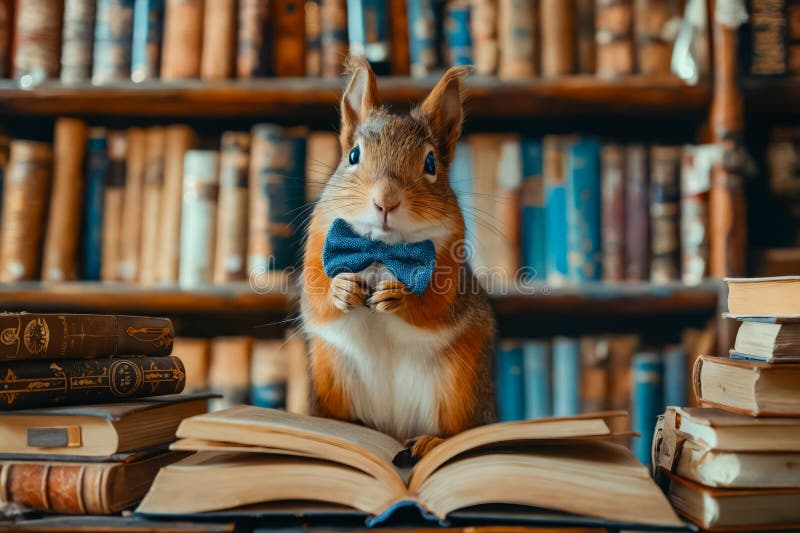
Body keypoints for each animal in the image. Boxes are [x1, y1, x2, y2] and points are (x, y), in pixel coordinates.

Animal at [301, 56, 496, 465]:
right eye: (353, 156)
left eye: (431, 163)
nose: (386, 200)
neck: (381, 251)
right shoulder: (318, 249)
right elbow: (317, 298)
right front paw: (342, 288)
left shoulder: (454, 282)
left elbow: (434, 306)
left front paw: (399, 294)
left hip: (460, 387)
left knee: (458, 430)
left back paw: (430, 444)